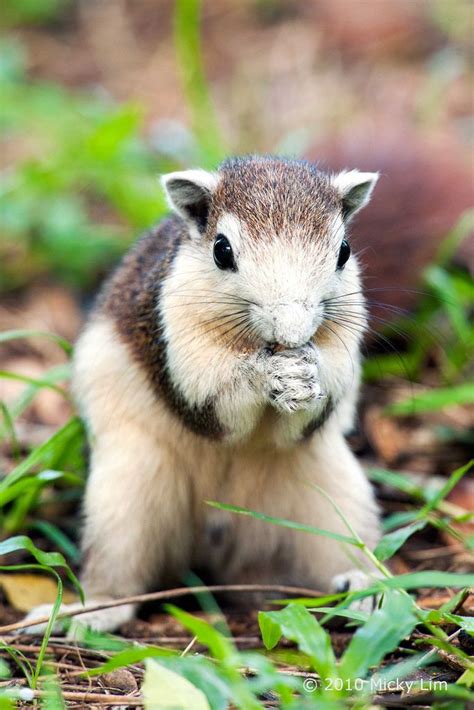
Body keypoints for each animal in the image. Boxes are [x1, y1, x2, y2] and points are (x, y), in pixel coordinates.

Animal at [24, 156, 382, 634]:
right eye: (222, 251)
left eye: (343, 250)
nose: (290, 332)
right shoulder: (170, 338)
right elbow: (215, 405)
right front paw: (267, 374)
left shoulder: (347, 328)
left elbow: (311, 408)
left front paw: (309, 373)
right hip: (125, 494)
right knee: (120, 570)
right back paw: (91, 610)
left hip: (332, 501)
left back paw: (364, 587)